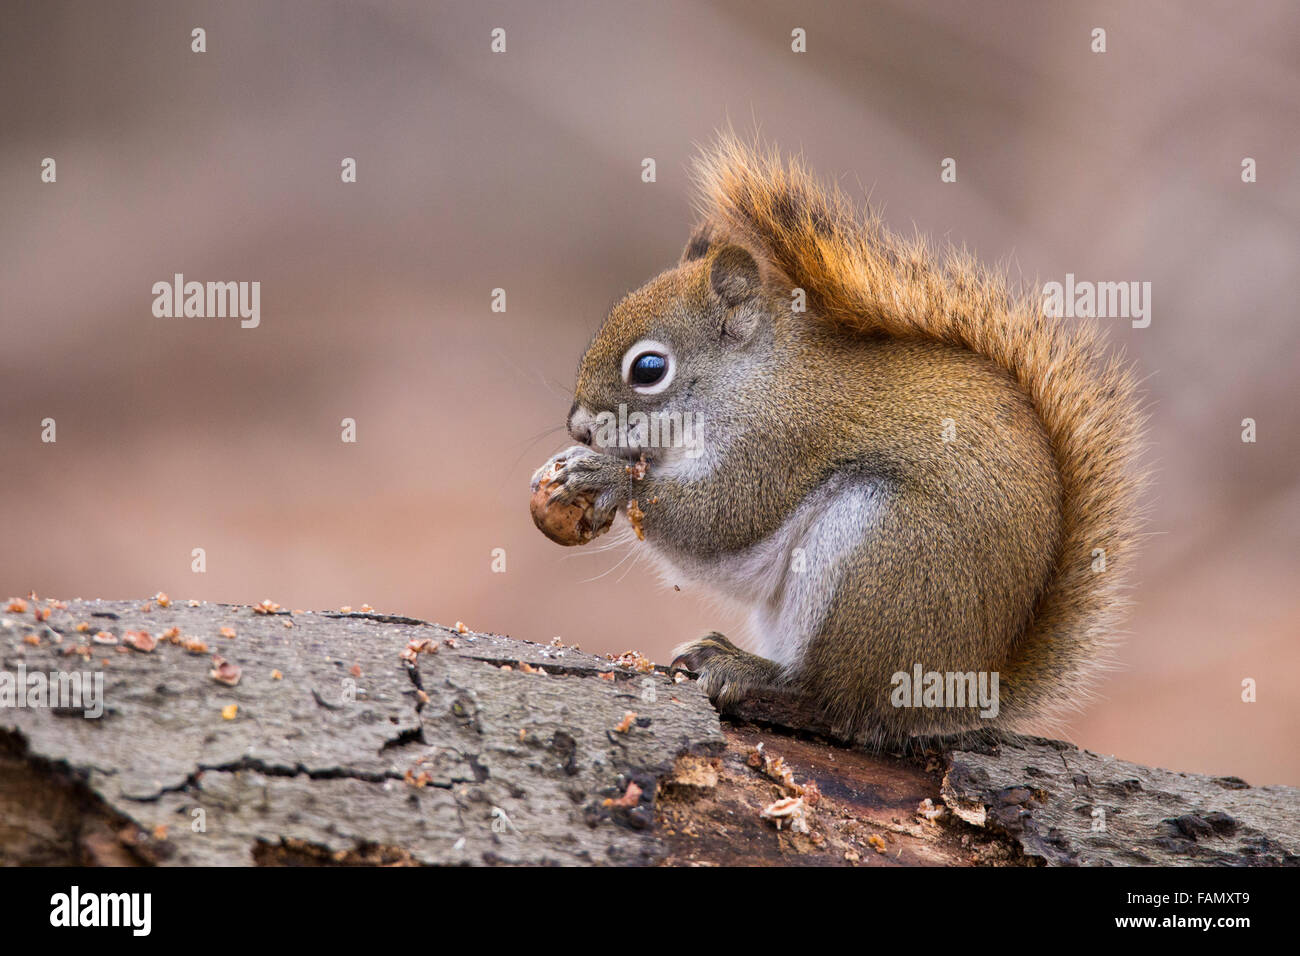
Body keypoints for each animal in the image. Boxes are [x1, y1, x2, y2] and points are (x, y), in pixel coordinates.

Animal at [535, 134, 1146, 745]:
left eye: (650, 368)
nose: (579, 427)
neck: (751, 380)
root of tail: (963, 687)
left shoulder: (782, 439)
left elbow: (720, 518)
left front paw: (603, 476)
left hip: (876, 556)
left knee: (830, 695)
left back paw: (750, 669)